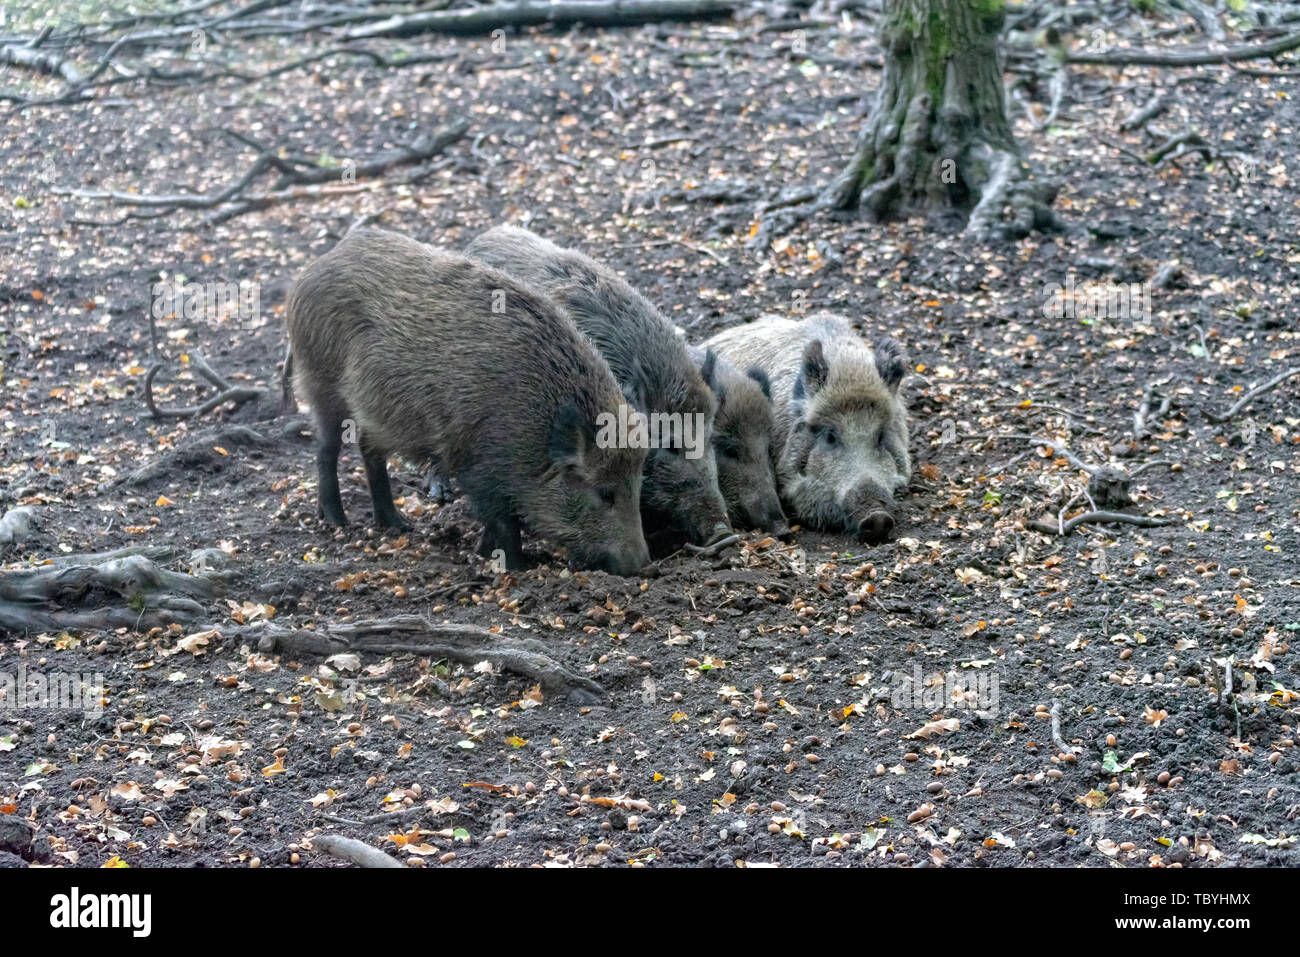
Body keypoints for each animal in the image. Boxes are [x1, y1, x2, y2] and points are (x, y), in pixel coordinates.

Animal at [285, 228, 650, 576]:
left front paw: (484, 553)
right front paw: (516, 567)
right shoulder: (477, 464)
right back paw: (338, 521)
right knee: (326, 448)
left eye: (637, 485)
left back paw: (399, 524)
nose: (643, 564)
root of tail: (313, 269)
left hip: (375, 413)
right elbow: (505, 521)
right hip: (320, 382)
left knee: (368, 450)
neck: (535, 422)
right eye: (604, 493)